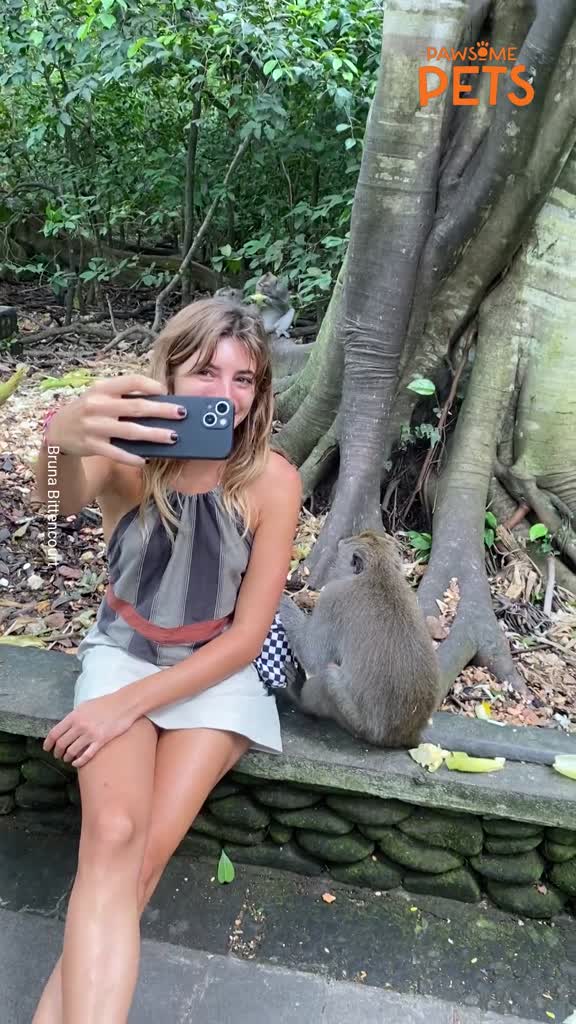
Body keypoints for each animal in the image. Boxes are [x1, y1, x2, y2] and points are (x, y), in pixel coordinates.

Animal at [278, 531, 440, 749]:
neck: (380, 572)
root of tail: (407, 735)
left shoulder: (333, 598)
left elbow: (313, 655)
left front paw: (282, 602)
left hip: (356, 721)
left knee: (329, 676)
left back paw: (297, 693)